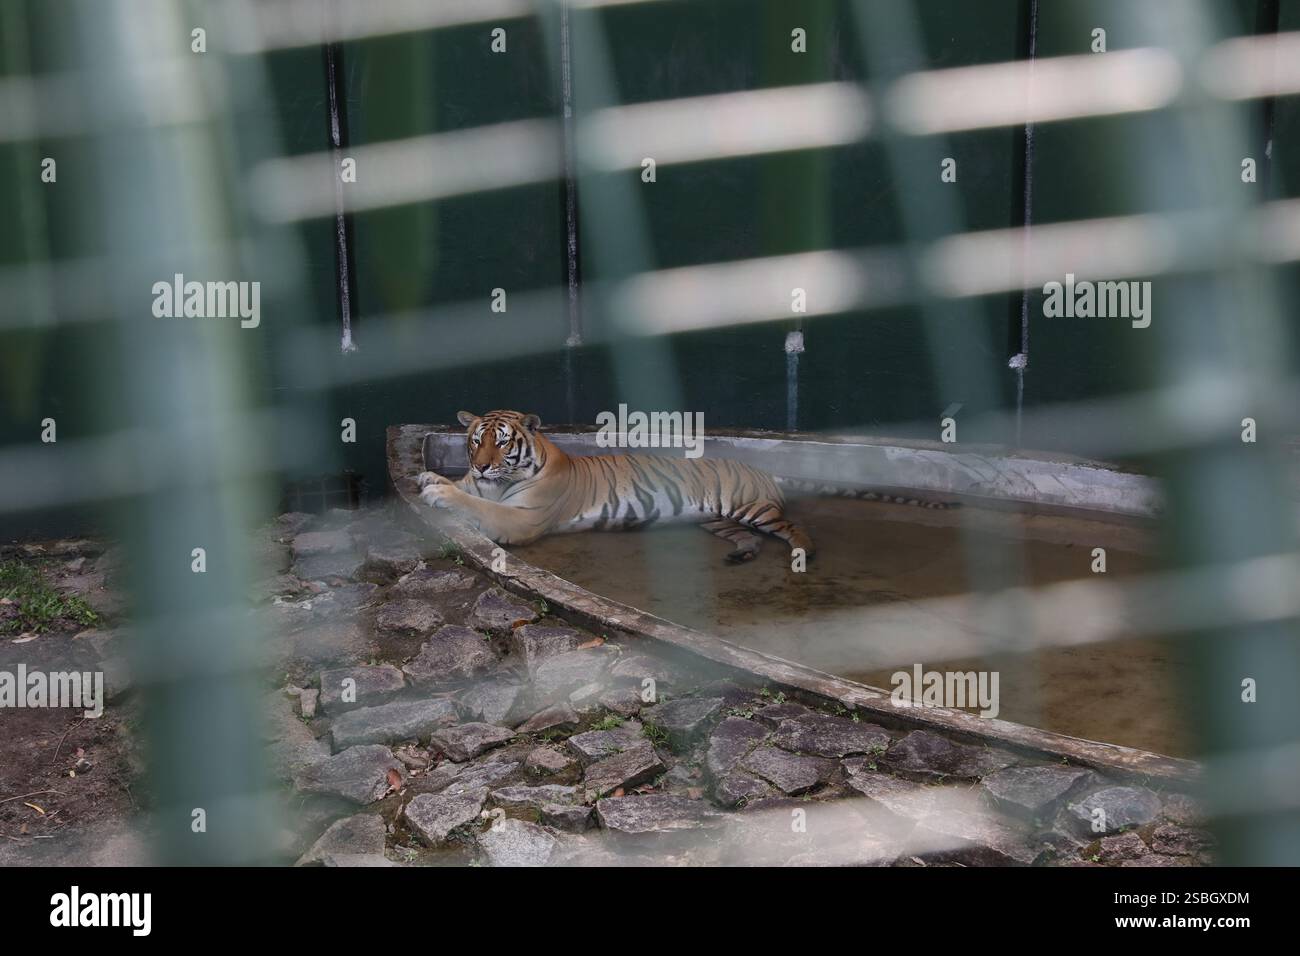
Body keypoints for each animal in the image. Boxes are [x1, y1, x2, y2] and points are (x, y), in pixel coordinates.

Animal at [417, 409, 955, 564]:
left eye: (502, 443)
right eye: (474, 442)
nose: (482, 467)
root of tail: (763, 470)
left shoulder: (525, 518)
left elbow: (479, 507)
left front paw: (439, 491)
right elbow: (465, 488)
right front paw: (433, 476)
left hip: (749, 507)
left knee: (791, 526)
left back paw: (802, 553)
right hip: (715, 519)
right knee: (747, 539)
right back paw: (739, 556)